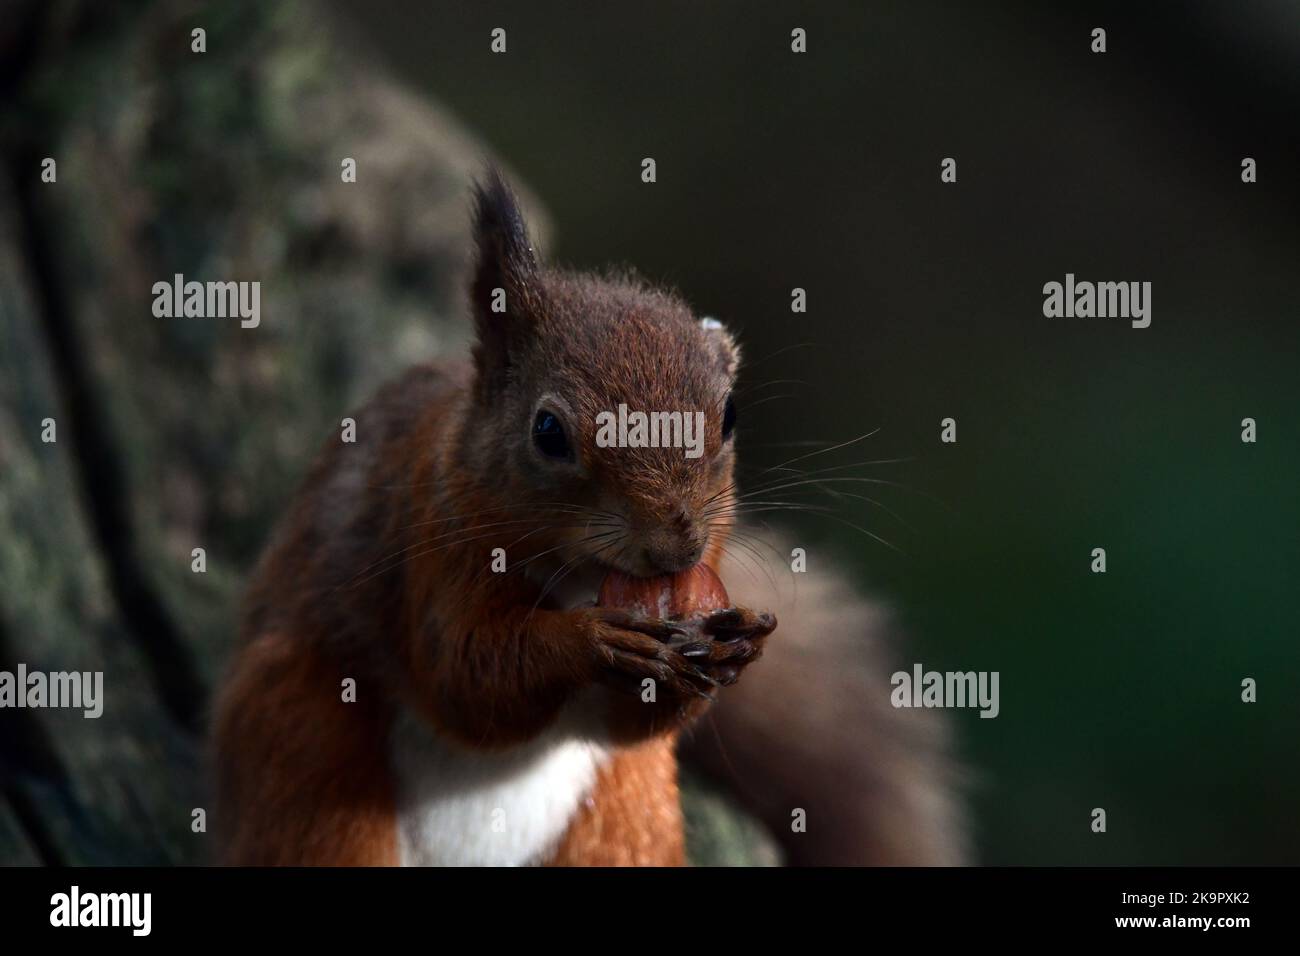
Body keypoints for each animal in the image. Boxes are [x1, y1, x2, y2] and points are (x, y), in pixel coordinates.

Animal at [212, 171, 965, 866]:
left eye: (730, 414)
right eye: (547, 432)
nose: (676, 545)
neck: (578, 575)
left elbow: (626, 724)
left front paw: (740, 644)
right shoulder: (427, 535)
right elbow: (463, 673)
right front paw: (591, 641)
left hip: (623, 816)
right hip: (311, 751)